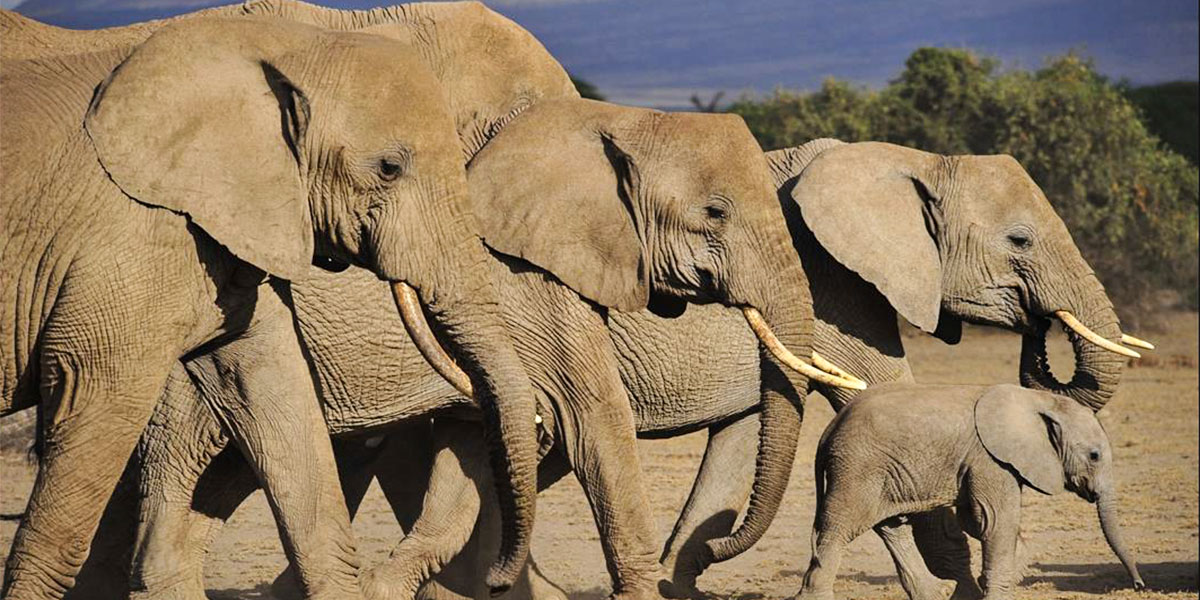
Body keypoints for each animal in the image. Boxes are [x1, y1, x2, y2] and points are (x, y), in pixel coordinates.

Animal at [0, 14, 544, 599]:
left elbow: (273, 390)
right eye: (390, 167)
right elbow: (97, 396)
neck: (280, 43)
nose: (496, 581)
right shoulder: (131, 237)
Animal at [800, 382, 1143, 600]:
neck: (1039, 400)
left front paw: (990, 581)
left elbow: (977, 521)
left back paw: (935, 595)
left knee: (892, 528)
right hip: (858, 467)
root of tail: (829, 428)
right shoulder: (990, 458)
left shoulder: (982, 461)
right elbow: (995, 521)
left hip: (886, 472)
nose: (1139, 586)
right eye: (1094, 456)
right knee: (838, 529)